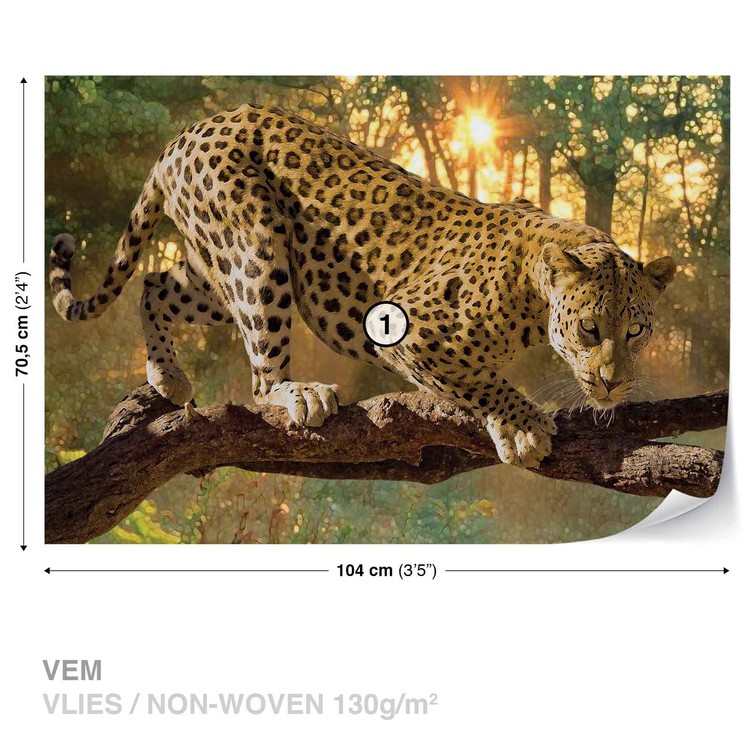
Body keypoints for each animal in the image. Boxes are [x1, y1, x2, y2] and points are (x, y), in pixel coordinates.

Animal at [49, 103, 676, 467]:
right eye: (590, 328)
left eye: (638, 332)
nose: (614, 384)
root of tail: (185, 132)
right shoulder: (416, 332)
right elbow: (483, 381)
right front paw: (521, 426)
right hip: (257, 249)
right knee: (259, 376)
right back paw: (297, 393)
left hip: (217, 266)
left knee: (154, 283)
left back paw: (167, 375)